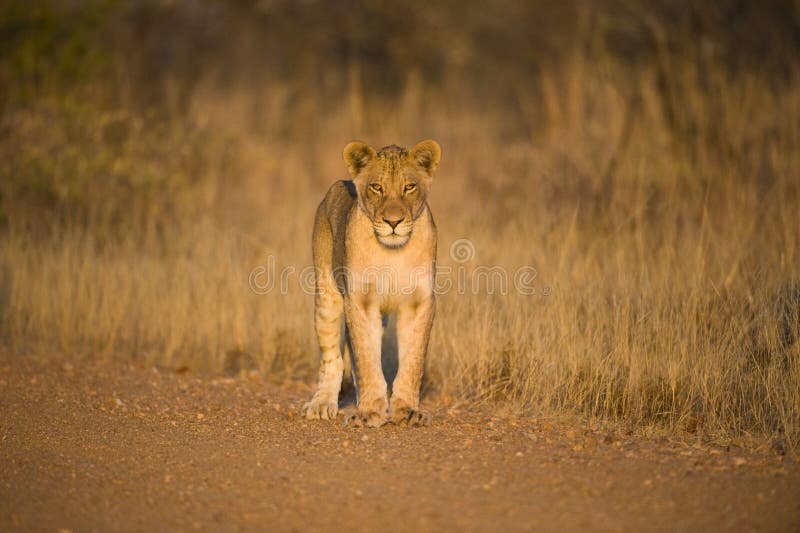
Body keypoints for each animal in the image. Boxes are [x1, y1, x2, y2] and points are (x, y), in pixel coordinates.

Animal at [300, 140, 441, 428]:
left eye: (409, 187)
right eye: (377, 187)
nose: (393, 222)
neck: (393, 253)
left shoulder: (419, 302)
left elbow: (412, 360)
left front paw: (407, 411)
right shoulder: (360, 301)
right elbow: (366, 359)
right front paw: (369, 411)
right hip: (327, 297)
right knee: (332, 359)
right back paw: (322, 403)